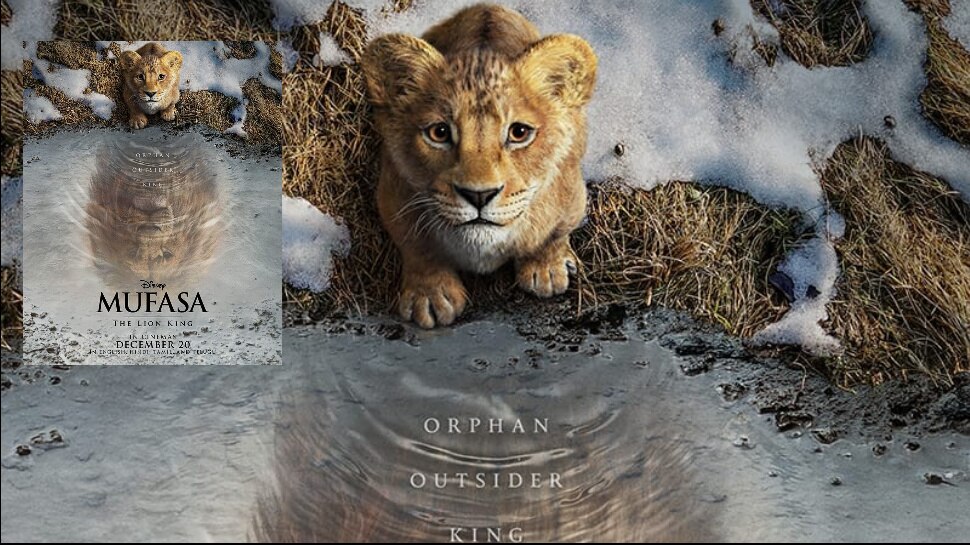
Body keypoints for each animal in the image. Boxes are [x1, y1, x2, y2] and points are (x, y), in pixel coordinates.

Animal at [361, 3, 597, 328]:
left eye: (519, 132)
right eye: (439, 133)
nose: (479, 195)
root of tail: (487, 6)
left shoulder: (572, 194)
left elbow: (553, 233)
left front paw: (546, 269)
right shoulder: (393, 195)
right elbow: (417, 246)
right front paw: (430, 296)